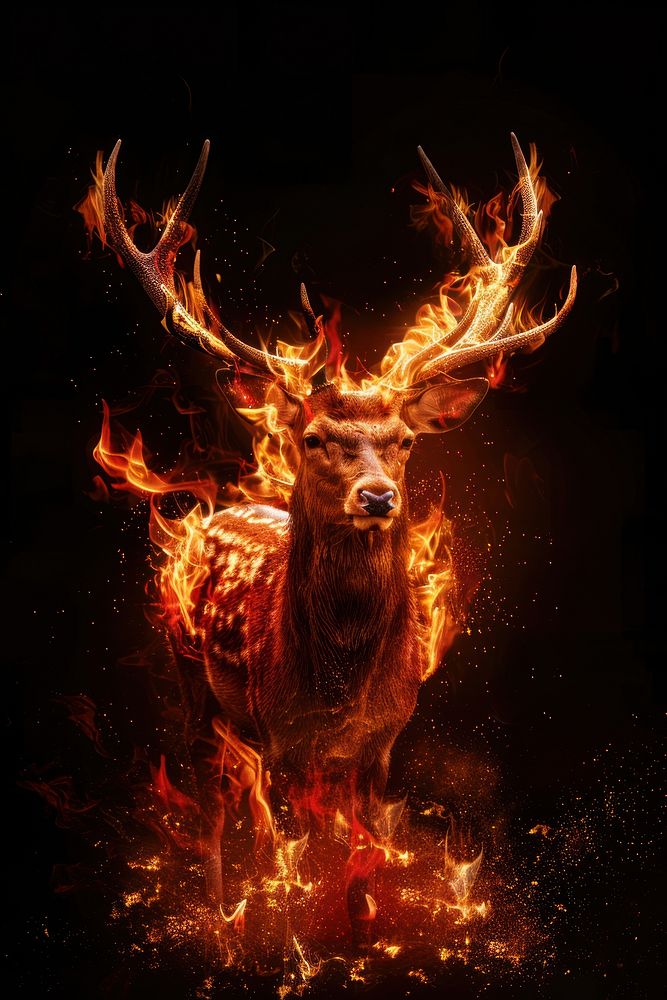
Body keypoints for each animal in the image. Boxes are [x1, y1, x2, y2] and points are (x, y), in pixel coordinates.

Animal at [99, 135, 576, 941]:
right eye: (316, 437)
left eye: (405, 440)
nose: (377, 496)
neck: (339, 686)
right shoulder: (284, 736)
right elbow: (298, 856)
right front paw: (294, 938)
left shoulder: (382, 741)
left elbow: (363, 853)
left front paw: (362, 933)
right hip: (188, 673)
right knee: (214, 805)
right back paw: (223, 915)